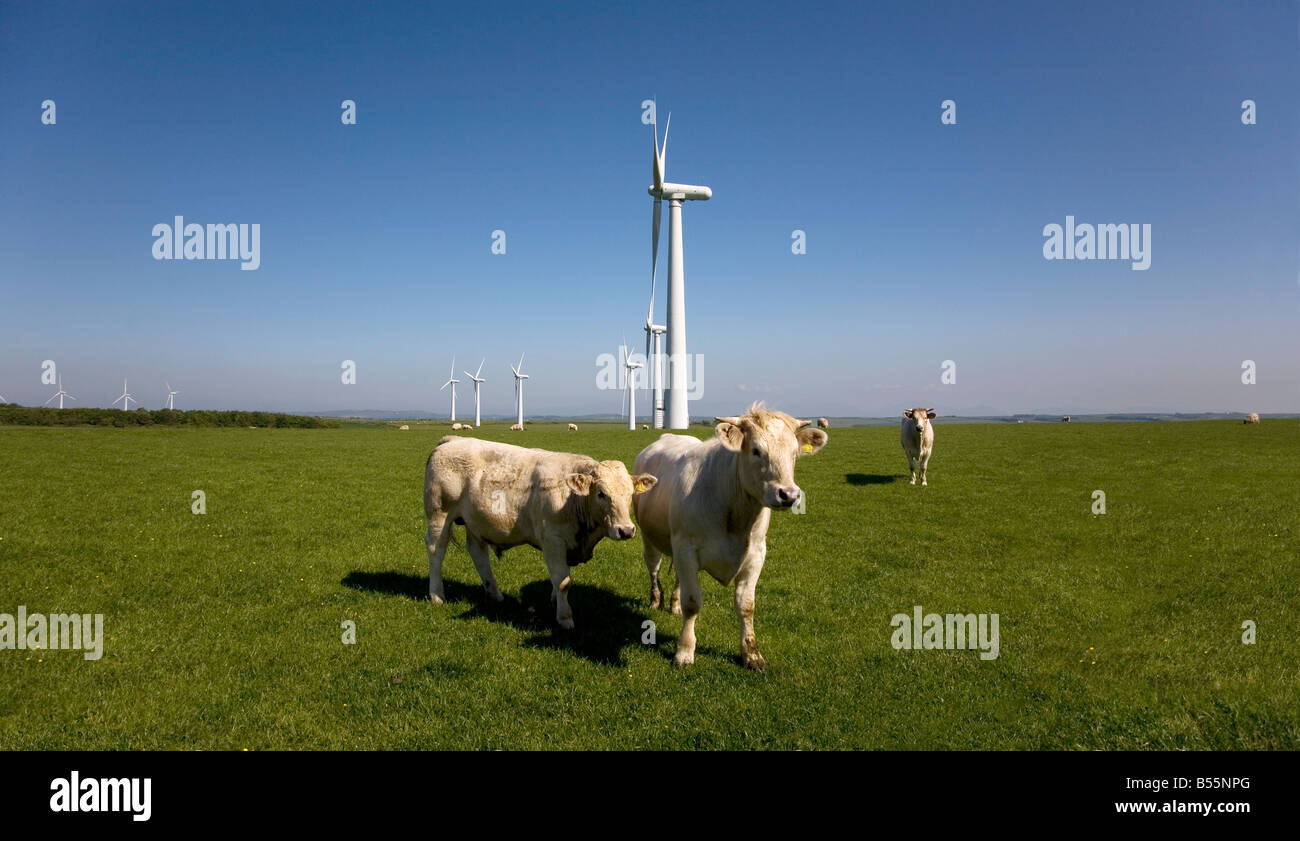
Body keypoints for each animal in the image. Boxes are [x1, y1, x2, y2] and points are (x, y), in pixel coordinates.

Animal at [424, 436, 657, 628]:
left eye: (630, 493)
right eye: (601, 493)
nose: (626, 530)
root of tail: (451, 440)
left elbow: (558, 580)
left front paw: (554, 600)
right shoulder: (553, 540)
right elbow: (563, 581)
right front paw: (565, 617)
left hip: (476, 522)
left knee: (478, 554)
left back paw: (495, 594)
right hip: (439, 515)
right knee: (436, 550)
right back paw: (437, 595)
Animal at [633, 403, 827, 670]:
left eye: (795, 453)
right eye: (756, 450)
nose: (788, 494)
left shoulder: (756, 555)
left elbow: (746, 606)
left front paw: (752, 654)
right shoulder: (687, 550)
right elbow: (692, 602)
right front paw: (684, 651)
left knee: (678, 580)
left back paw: (673, 604)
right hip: (650, 538)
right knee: (654, 568)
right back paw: (656, 600)